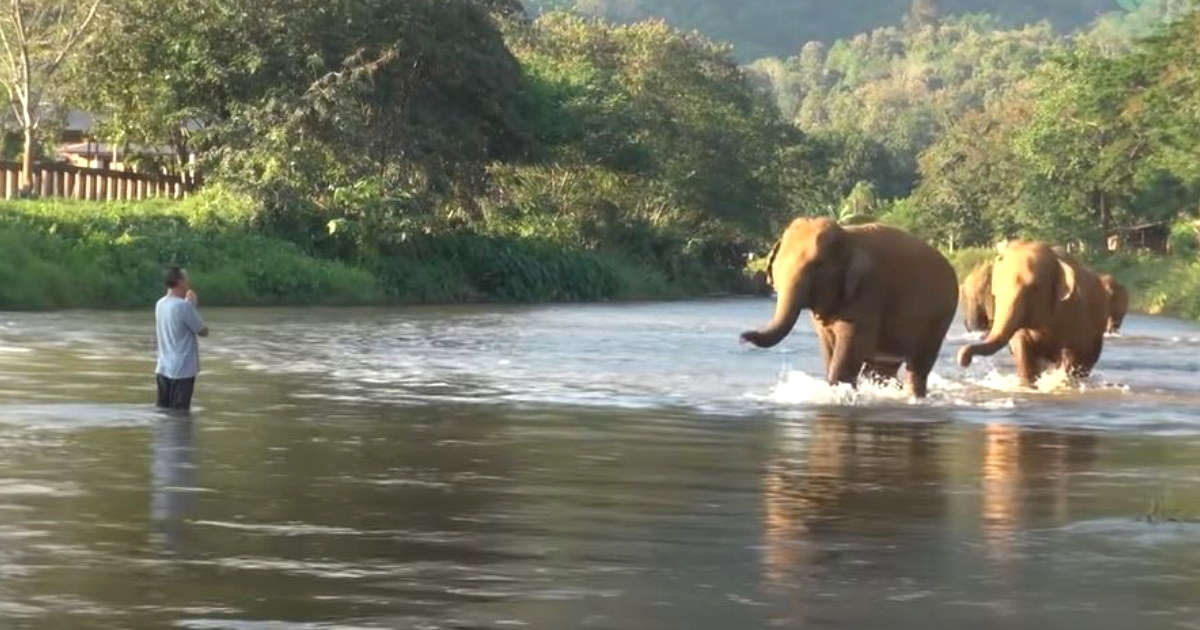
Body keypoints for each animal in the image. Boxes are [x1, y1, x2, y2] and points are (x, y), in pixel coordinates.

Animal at [740, 218, 959, 398]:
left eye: (818, 266)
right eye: (777, 265)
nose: (744, 336)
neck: (847, 237)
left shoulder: (869, 290)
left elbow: (851, 347)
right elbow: (828, 345)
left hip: (939, 319)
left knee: (919, 365)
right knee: (882, 369)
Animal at [956, 240, 1108, 388]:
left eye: (1034, 287)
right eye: (996, 288)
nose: (963, 360)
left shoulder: (1077, 312)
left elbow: (1073, 355)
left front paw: (1062, 384)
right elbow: (1021, 347)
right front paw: (1028, 386)